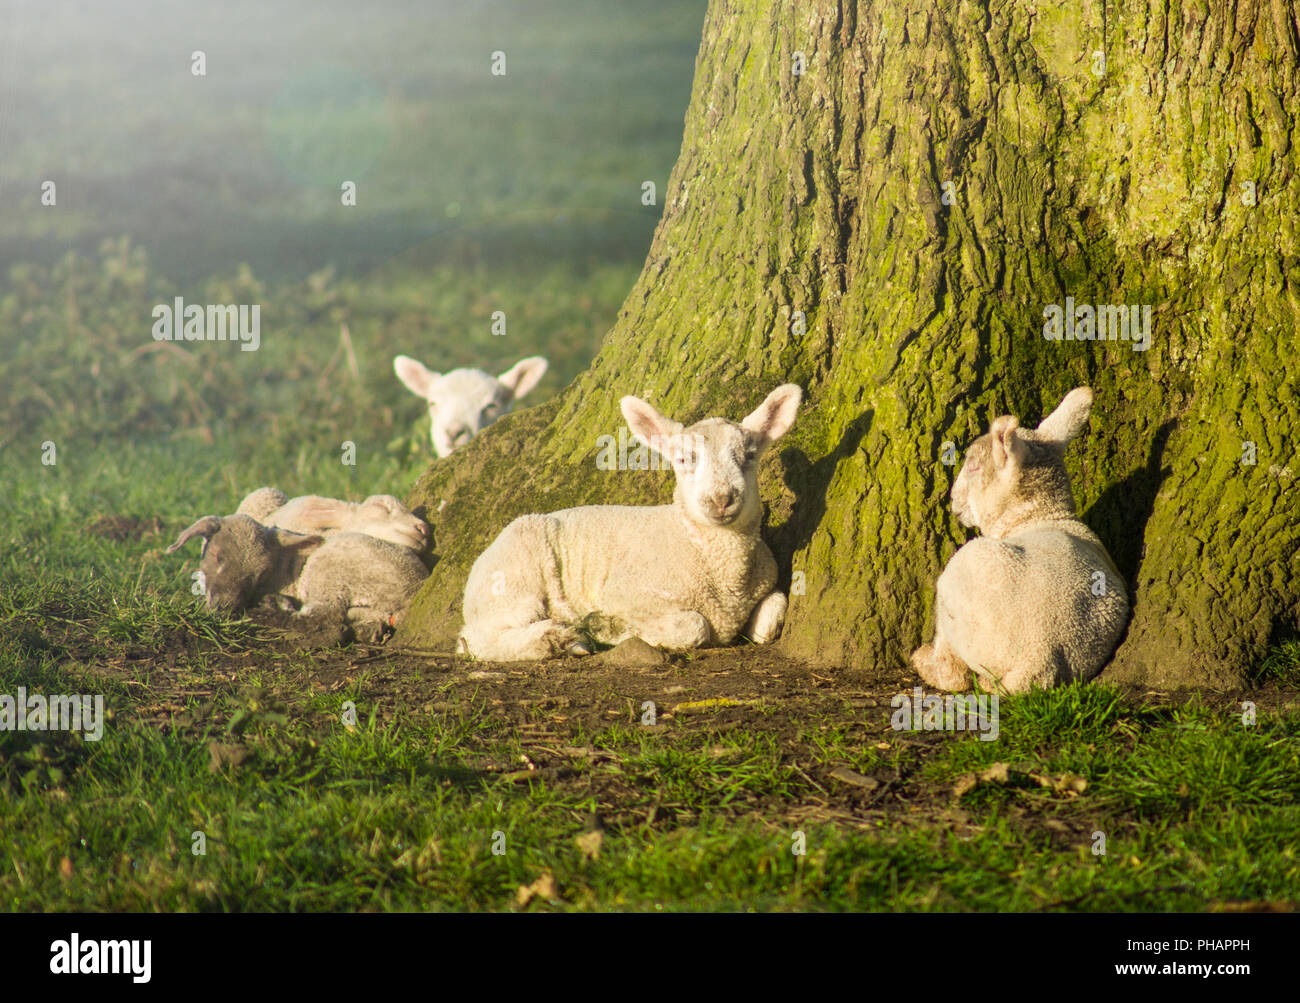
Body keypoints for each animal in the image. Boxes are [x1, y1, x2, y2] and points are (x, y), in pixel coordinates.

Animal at [167, 514, 428, 641]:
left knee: (324, 618)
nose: (225, 608)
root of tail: (414, 591)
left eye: (260, 573)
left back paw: (270, 610)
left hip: (331, 569)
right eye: (218, 556)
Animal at [458, 384, 803, 661]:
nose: (721, 498)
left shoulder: (765, 581)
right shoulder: (626, 593)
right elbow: (694, 626)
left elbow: (774, 611)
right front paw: (612, 629)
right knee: (478, 638)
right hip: (514, 577)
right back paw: (559, 640)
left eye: (749, 456)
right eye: (682, 459)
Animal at [910, 387, 1130, 694]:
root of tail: (1039, 656)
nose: (954, 501)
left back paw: (924, 662)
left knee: (954, 674)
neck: (1038, 516)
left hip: (959, 583)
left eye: (974, 467)